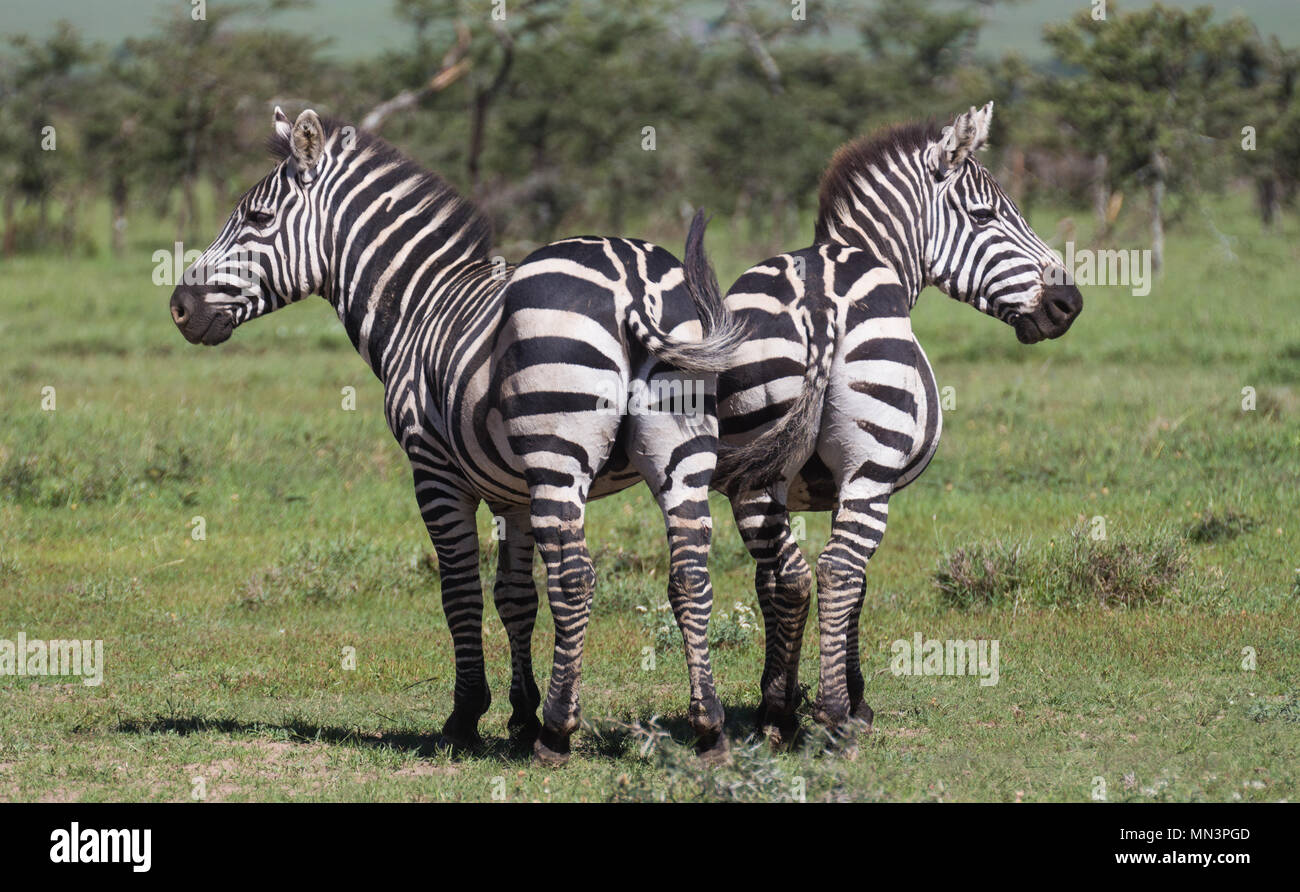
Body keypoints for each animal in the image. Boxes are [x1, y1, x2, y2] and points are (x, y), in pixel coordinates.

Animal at [168, 107, 745, 765]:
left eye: (259, 219)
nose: (178, 307)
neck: (417, 305)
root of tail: (631, 280)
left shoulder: (434, 470)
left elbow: (460, 591)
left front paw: (468, 715)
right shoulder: (513, 492)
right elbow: (515, 597)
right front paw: (518, 715)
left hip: (559, 457)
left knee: (575, 580)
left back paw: (558, 732)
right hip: (680, 452)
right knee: (690, 575)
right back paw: (708, 727)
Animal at [704, 102, 1083, 744]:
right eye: (985, 215)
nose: (1069, 304)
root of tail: (818, 298)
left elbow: (771, 583)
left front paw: (777, 697)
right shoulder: (864, 481)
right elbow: (858, 585)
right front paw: (856, 698)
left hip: (754, 470)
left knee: (789, 575)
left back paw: (778, 713)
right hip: (870, 469)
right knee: (837, 571)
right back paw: (836, 716)